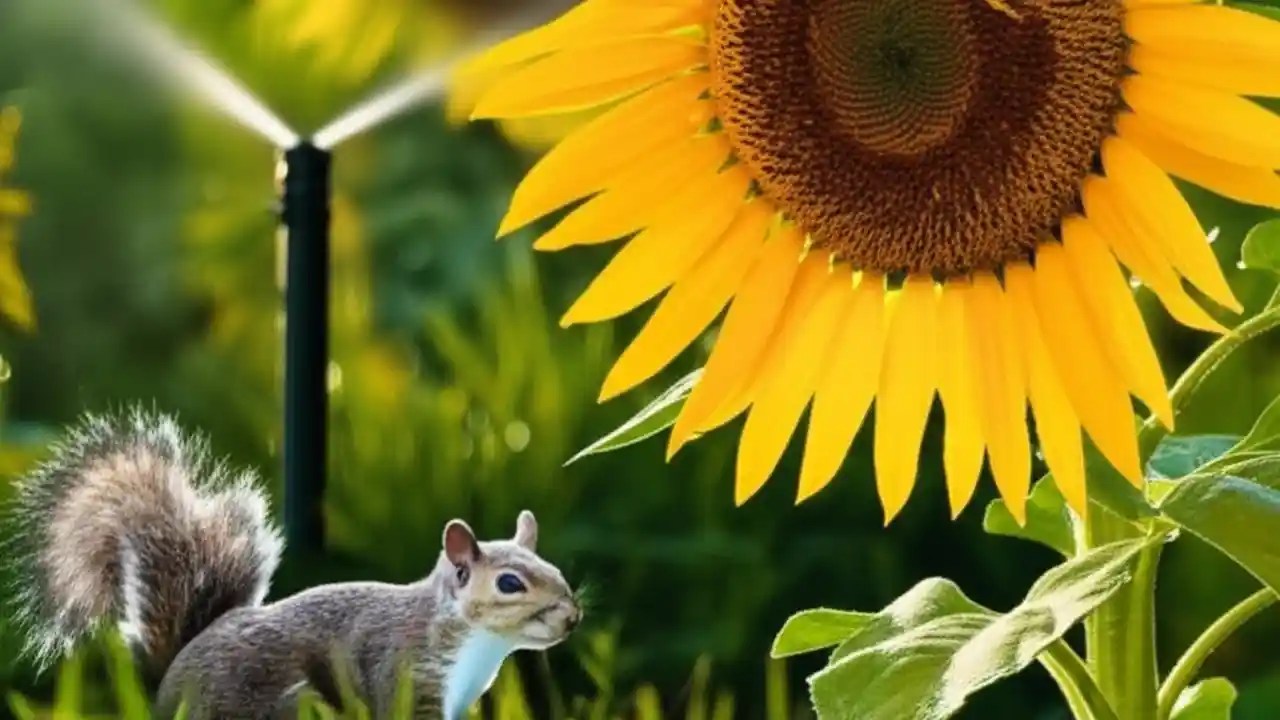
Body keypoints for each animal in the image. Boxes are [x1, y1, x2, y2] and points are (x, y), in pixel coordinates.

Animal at [4, 408, 582, 719]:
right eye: (509, 583)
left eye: (557, 571)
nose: (572, 616)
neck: (476, 647)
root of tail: (168, 690)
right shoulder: (404, 676)